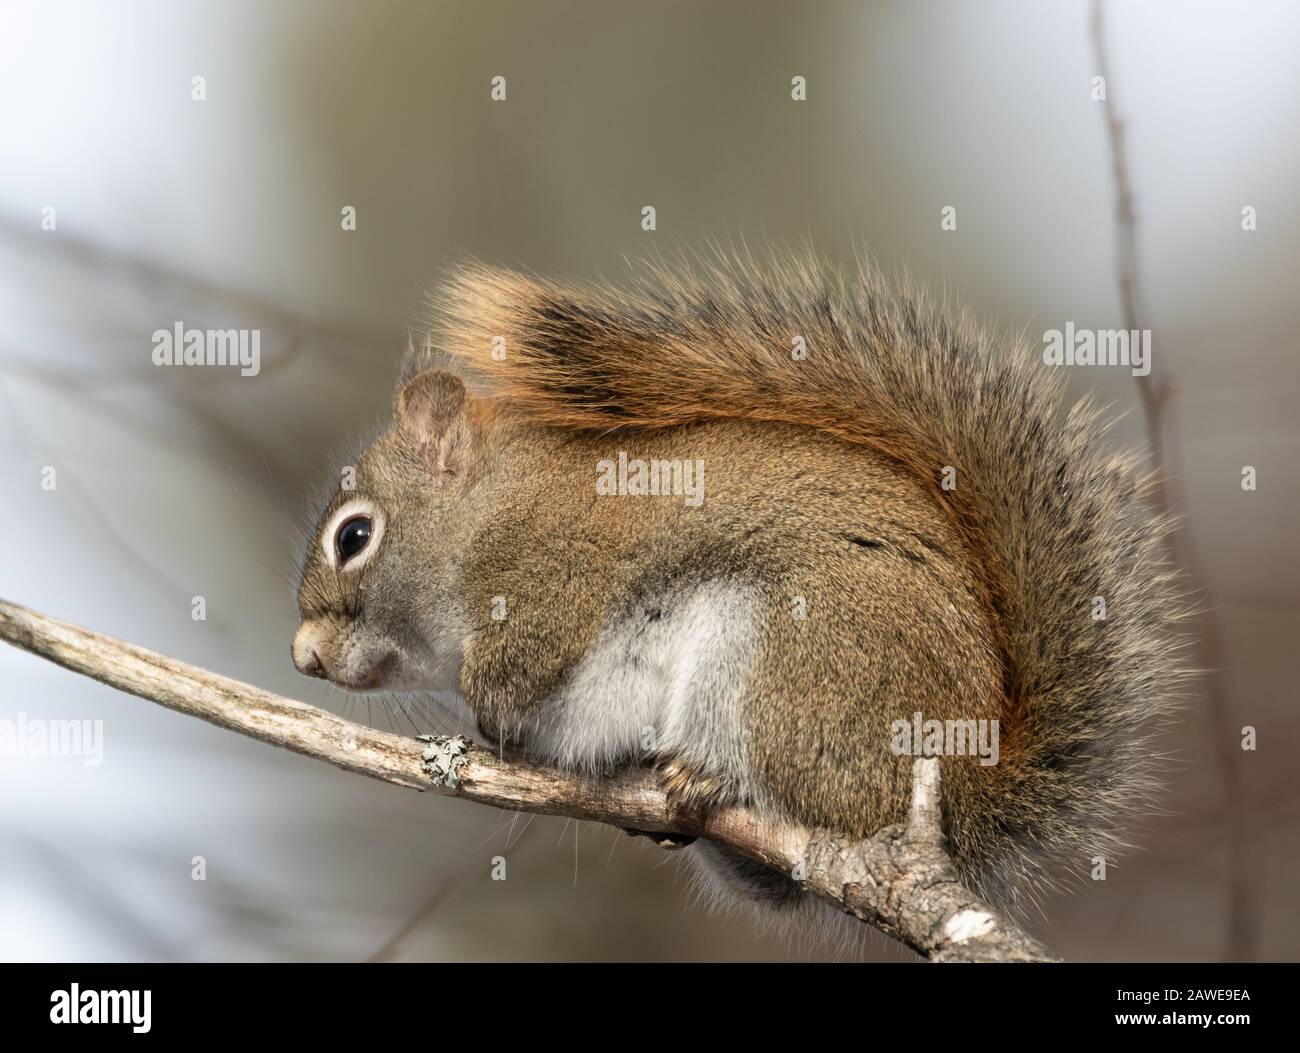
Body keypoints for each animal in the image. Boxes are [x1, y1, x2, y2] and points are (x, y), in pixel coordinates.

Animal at [292, 250, 1189, 934]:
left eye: (354, 537)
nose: (302, 656)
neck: (484, 514)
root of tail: (970, 778)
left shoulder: (556, 576)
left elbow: (526, 660)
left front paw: (488, 710)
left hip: (783, 662)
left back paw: (710, 778)